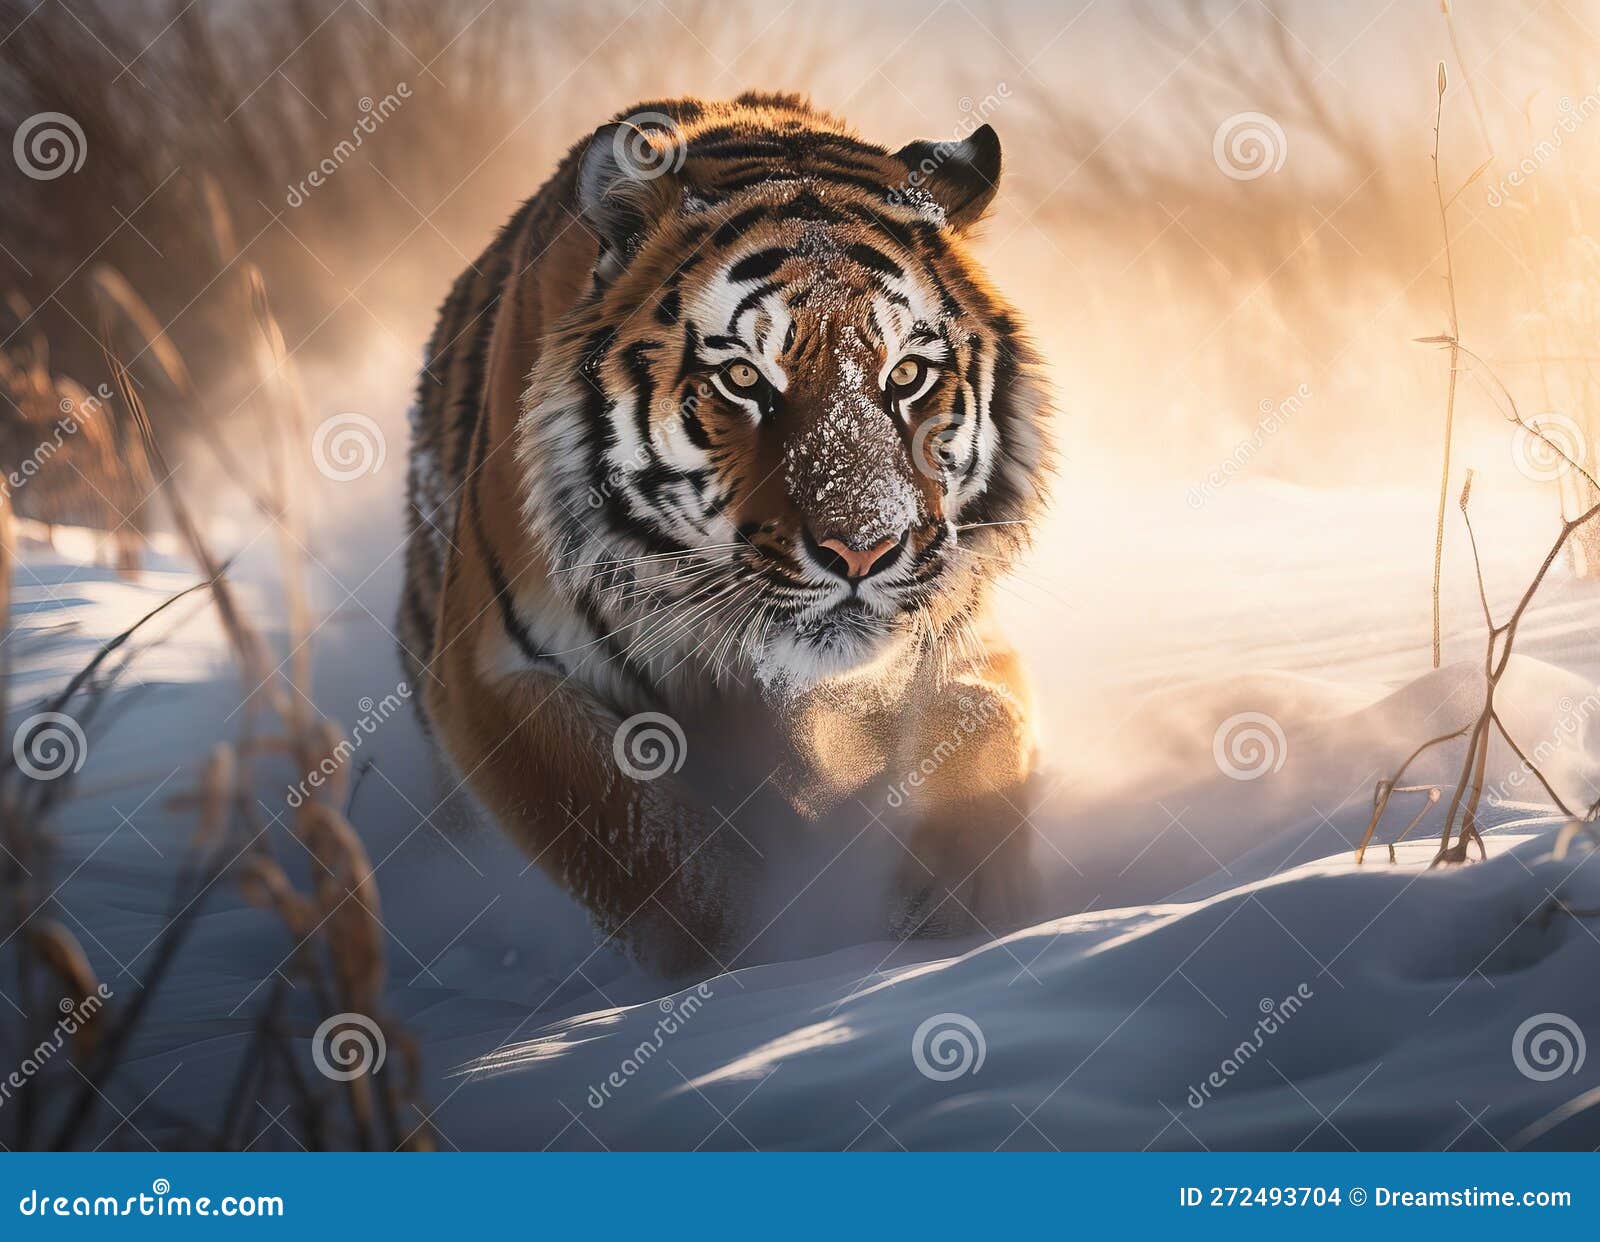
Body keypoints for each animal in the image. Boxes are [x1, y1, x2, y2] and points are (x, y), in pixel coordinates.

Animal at [398, 92, 1053, 975]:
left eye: (907, 375)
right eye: (744, 378)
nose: (863, 552)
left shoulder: (954, 632)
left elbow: (983, 725)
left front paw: (948, 915)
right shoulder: (488, 675)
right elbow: (645, 844)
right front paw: (762, 960)